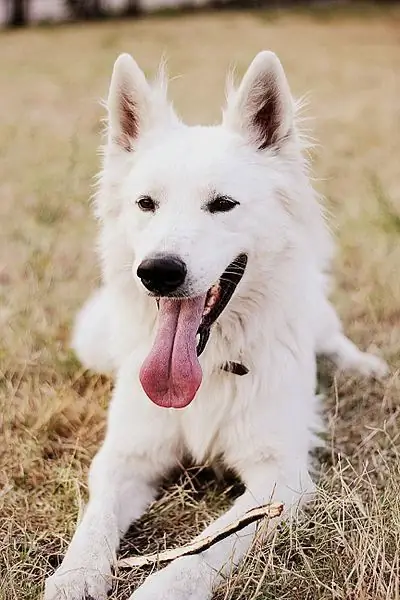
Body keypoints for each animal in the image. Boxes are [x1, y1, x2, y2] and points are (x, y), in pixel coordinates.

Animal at [44, 51, 388, 600]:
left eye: (223, 204)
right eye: (146, 204)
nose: (158, 272)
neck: (207, 366)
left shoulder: (278, 478)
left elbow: (202, 550)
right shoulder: (125, 458)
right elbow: (93, 528)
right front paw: (72, 579)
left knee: (333, 339)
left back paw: (364, 366)